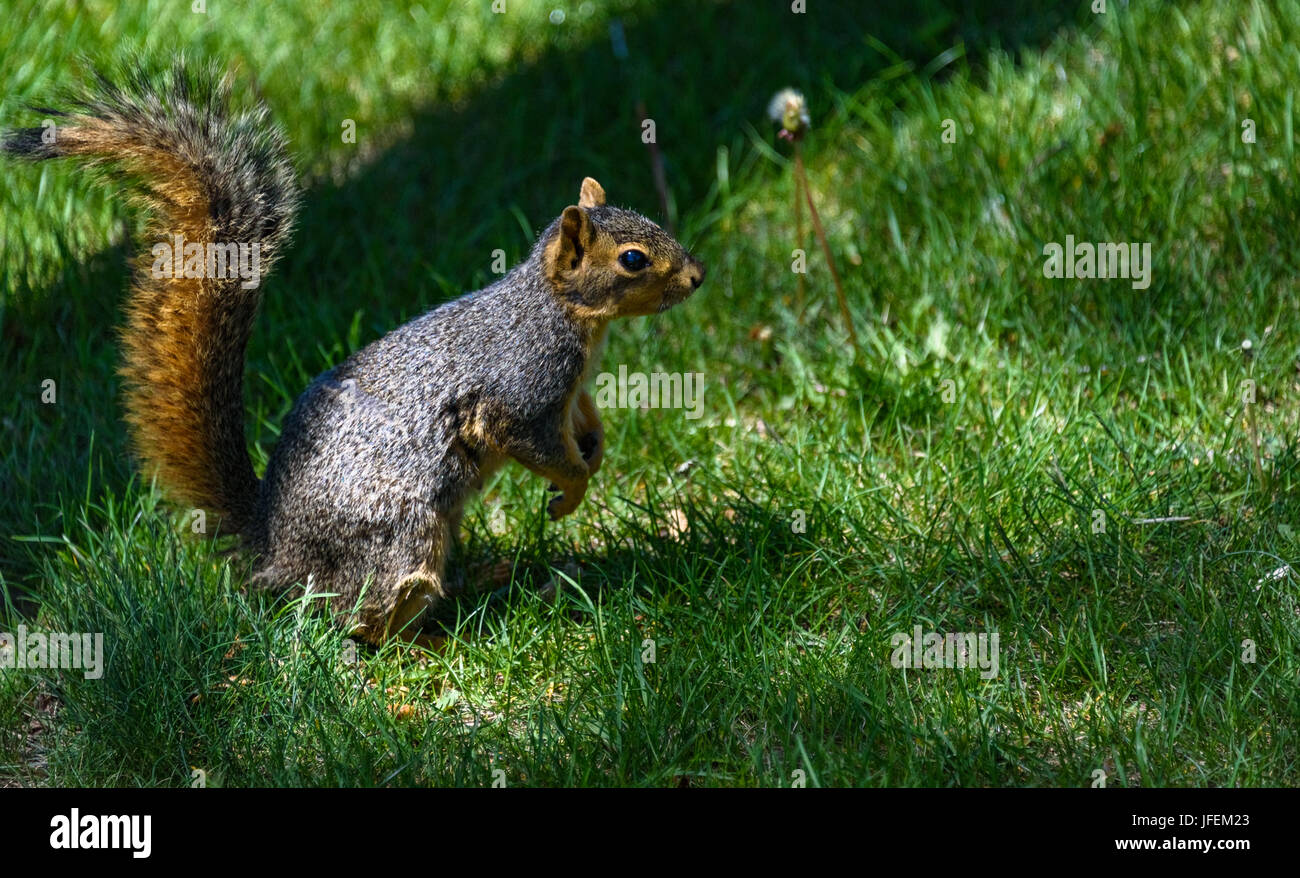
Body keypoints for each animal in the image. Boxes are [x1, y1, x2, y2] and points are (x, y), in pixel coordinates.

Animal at [3, 60, 705, 644]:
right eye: (633, 260)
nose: (697, 277)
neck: (569, 316)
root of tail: (274, 549)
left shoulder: (574, 390)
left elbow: (585, 420)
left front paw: (595, 449)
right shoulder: (524, 390)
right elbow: (537, 442)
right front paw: (573, 489)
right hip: (400, 539)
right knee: (354, 617)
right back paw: (422, 643)